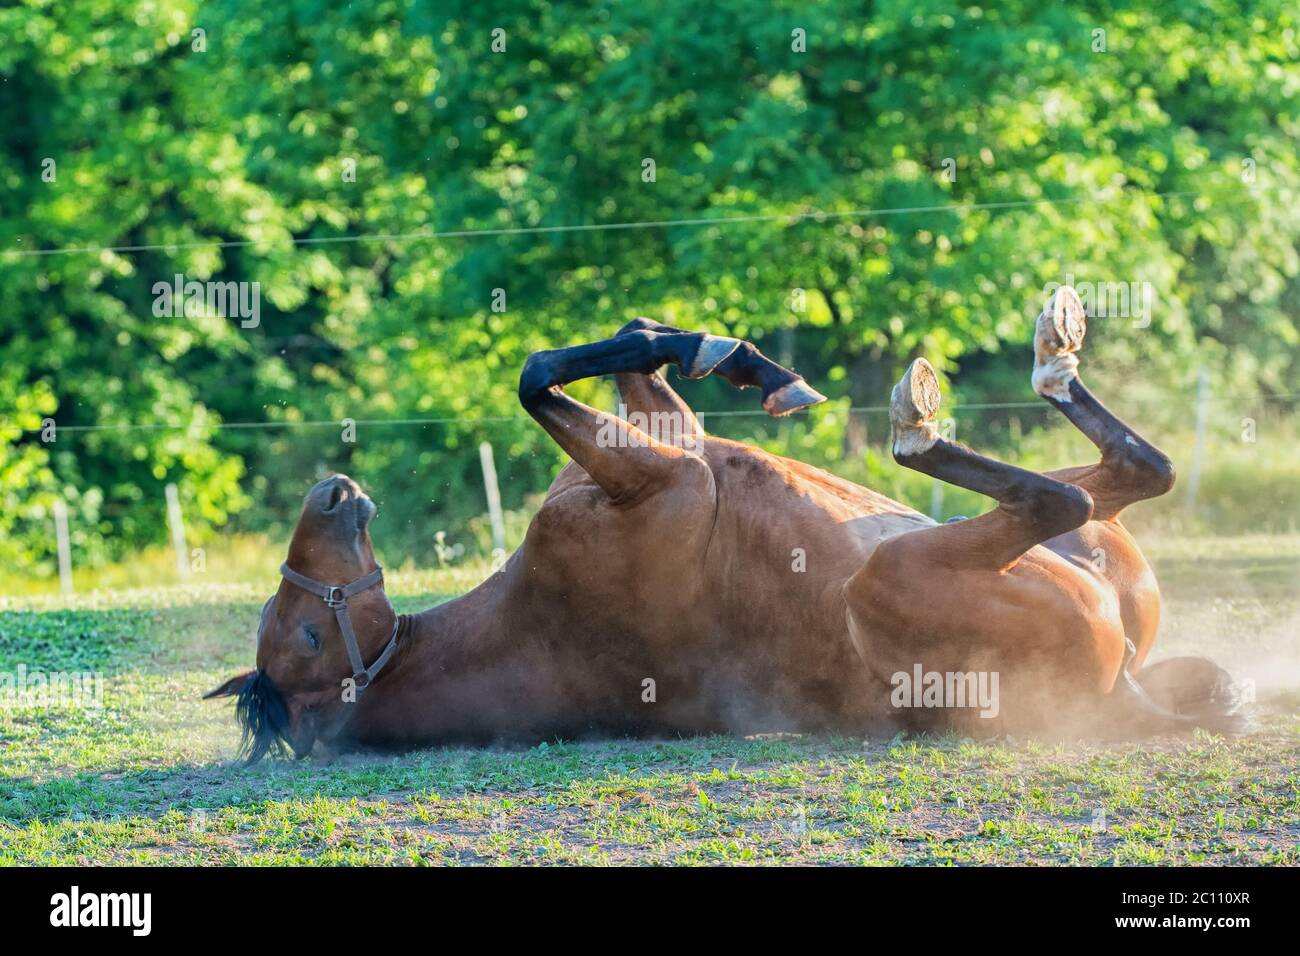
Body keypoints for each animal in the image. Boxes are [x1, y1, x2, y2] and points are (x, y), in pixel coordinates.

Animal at [205, 287, 1250, 762]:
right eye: (304, 636)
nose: (332, 491)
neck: (524, 620)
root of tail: (1121, 693)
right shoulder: (667, 481)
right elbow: (538, 372)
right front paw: (742, 359)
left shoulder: (669, 446)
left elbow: (628, 351)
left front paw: (737, 358)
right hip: (901, 574)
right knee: (1059, 496)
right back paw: (923, 419)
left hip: (1091, 545)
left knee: (1135, 473)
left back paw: (1053, 350)